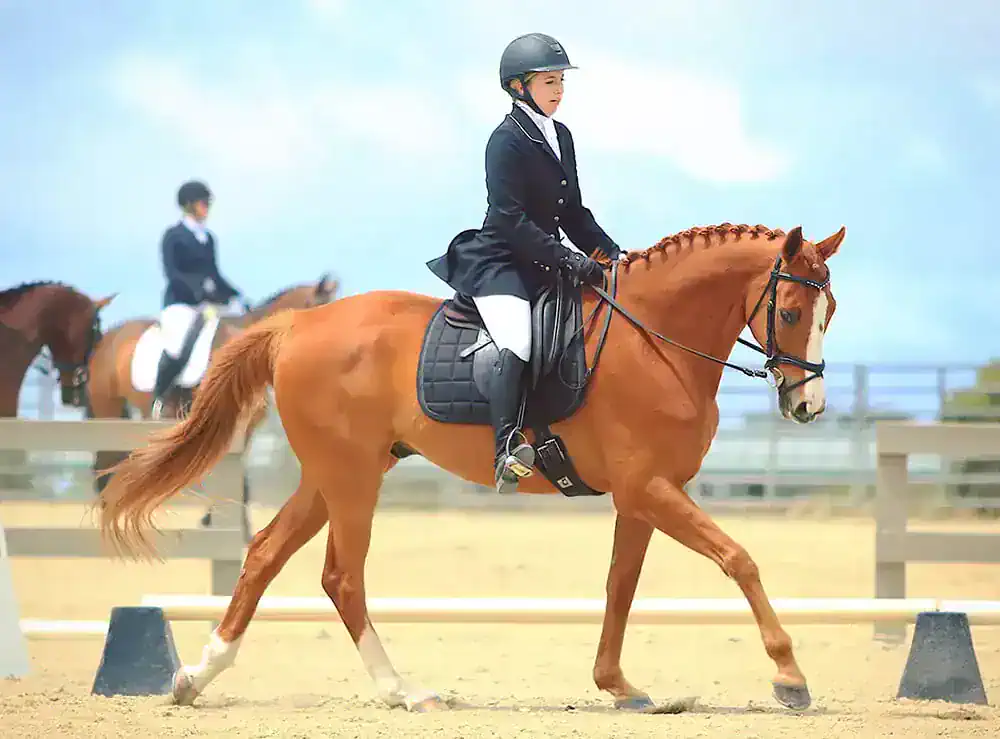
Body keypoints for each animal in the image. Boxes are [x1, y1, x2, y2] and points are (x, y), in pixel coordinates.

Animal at [97, 222, 845, 714]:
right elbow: (739, 558)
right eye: (789, 311)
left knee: (265, 555)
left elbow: (620, 587)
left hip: (332, 476)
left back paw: (196, 676)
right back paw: (402, 691)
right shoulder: (649, 488)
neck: (654, 341)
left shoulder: (642, 495)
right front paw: (790, 677)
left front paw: (619, 686)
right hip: (352, 478)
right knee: (341, 575)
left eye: (829, 311)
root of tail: (297, 325)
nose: (807, 405)